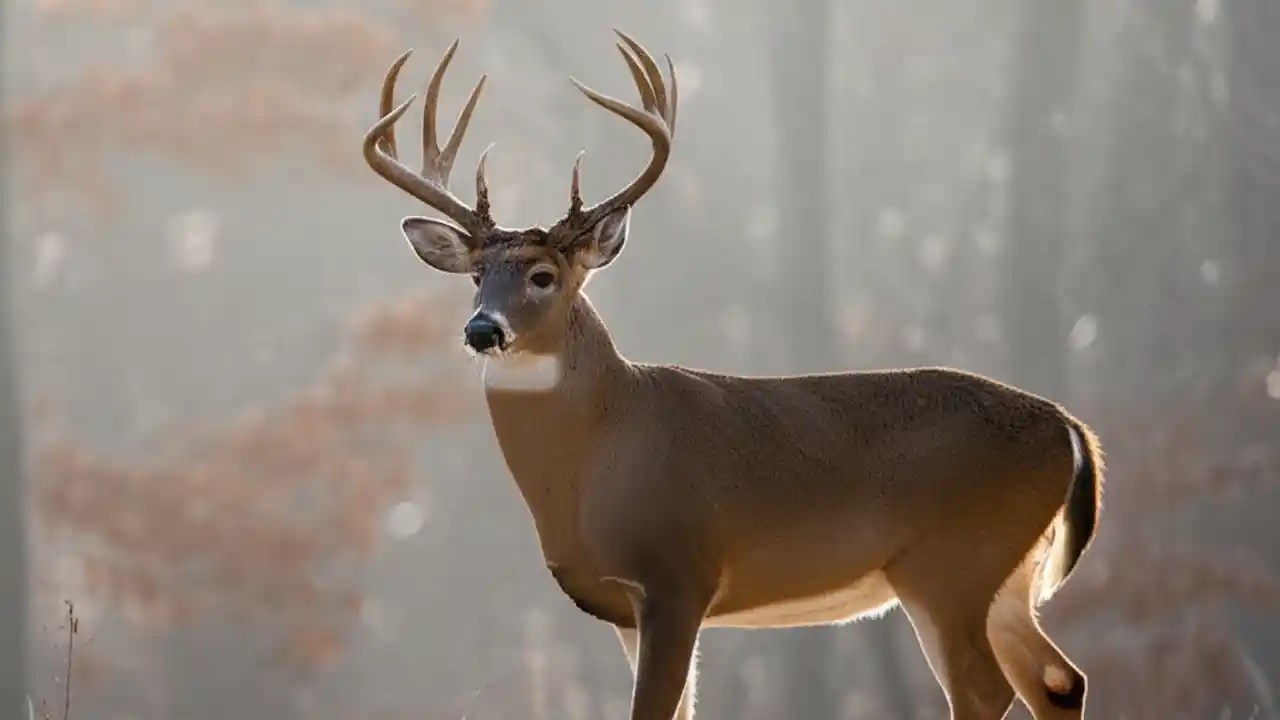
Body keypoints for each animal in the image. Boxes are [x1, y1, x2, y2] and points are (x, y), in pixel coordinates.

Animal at [361, 31, 1105, 720]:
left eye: (543, 275)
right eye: (477, 276)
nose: (482, 329)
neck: (600, 455)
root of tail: (1072, 430)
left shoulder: (677, 574)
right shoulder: (628, 610)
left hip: (951, 562)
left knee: (987, 689)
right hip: (1005, 575)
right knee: (1060, 681)